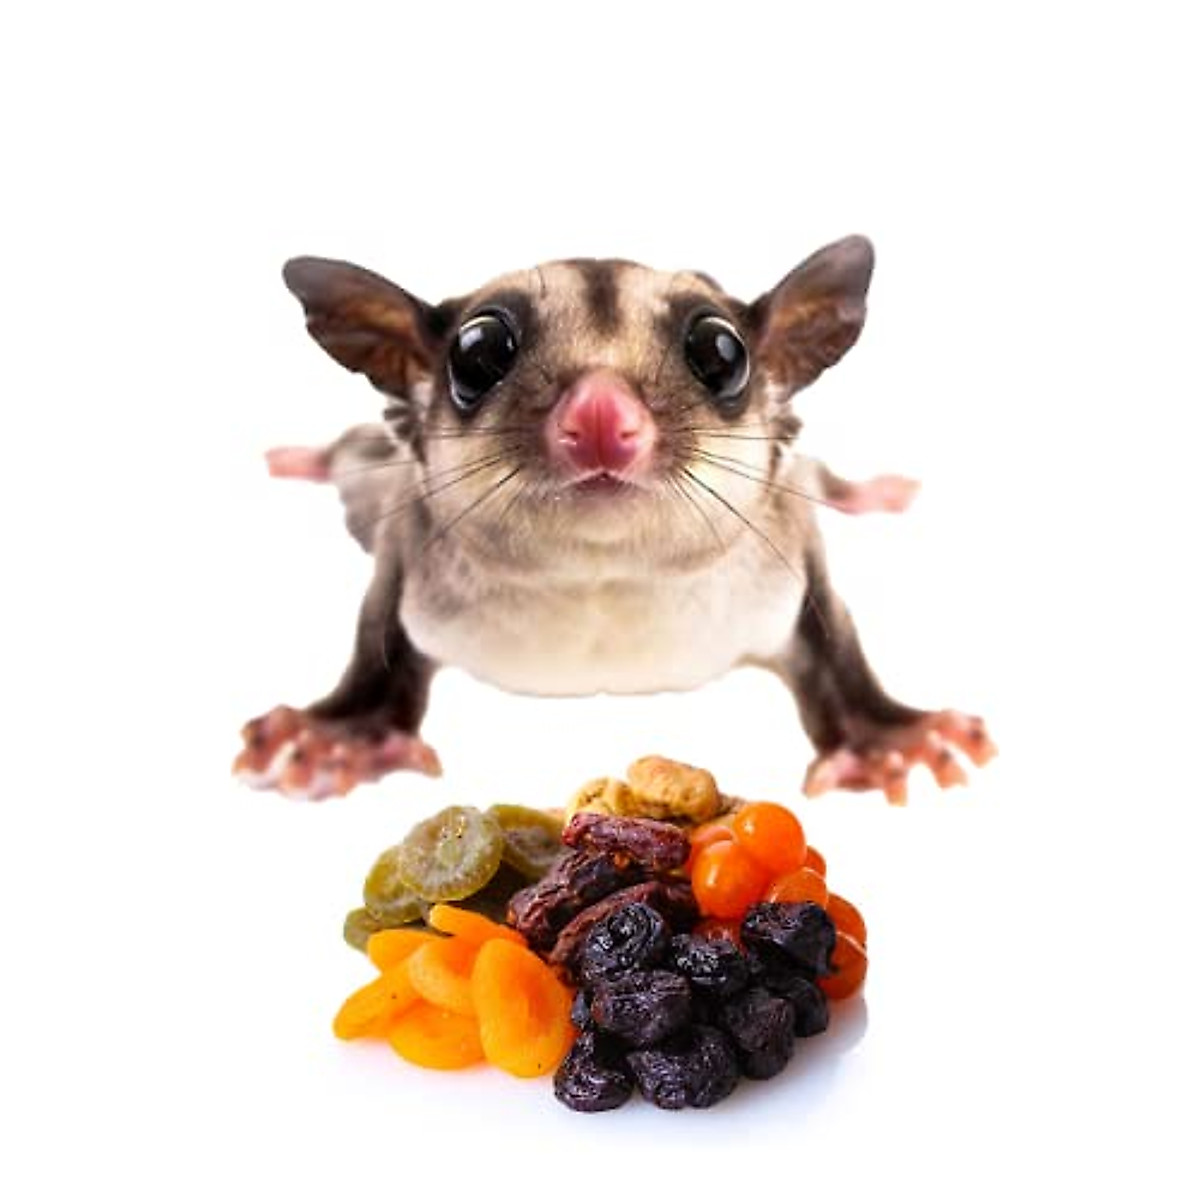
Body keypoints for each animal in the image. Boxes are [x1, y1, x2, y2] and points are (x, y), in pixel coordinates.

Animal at [236, 237, 993, 803]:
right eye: (478, 351)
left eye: (720, 352)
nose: (601, 419)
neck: (601, 582)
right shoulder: (409, 547)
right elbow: (378, 631)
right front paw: (342, 735)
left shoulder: (788, 543)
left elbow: (831, 630)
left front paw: (886, 740)